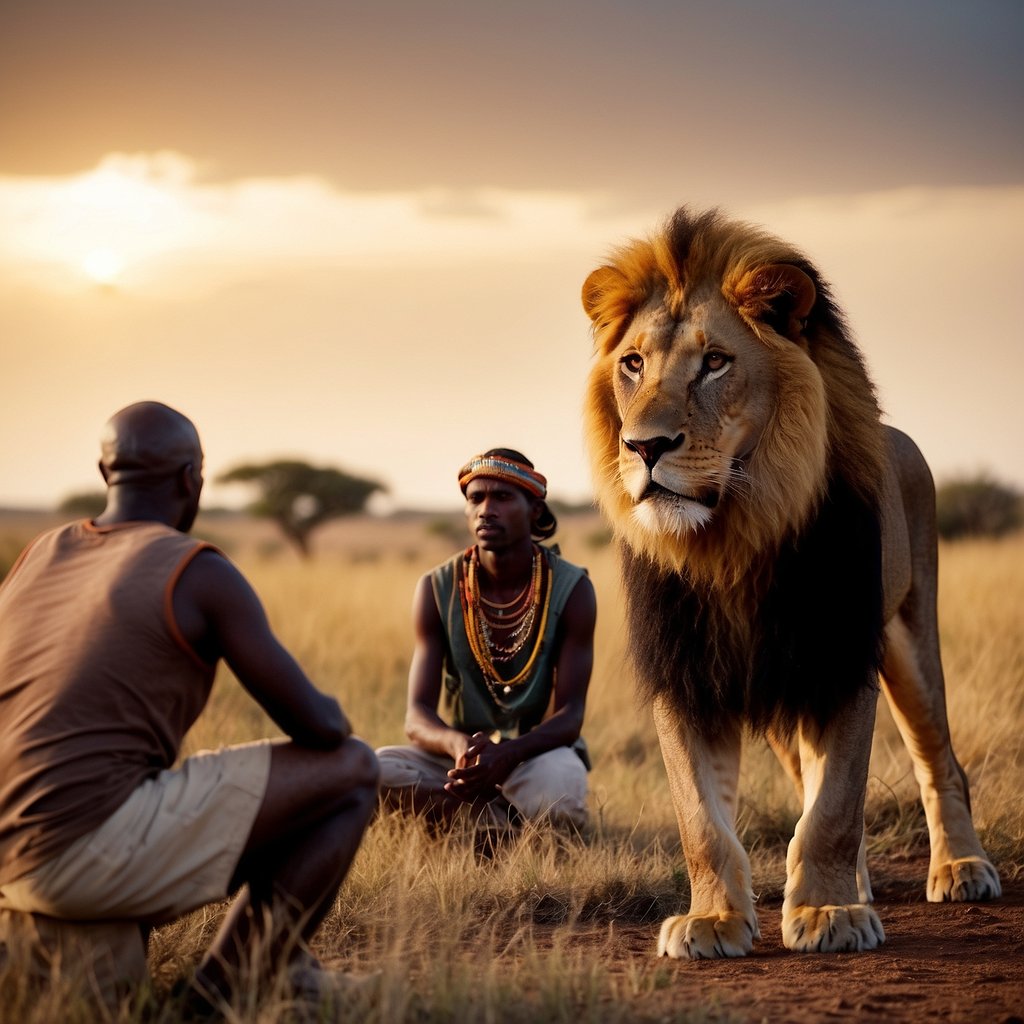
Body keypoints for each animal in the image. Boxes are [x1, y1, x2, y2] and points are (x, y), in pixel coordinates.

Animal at [581, 206, 1001, 959]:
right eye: (633, 364)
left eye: (715, 362)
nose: (644, 447)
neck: (731, 538)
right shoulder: (689, 671)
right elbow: (702, 819)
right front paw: (714, 920)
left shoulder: (840, 654)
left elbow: (834, 803)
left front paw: (829, 913)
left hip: (907, 634)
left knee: (939, 761)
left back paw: (961, 867)